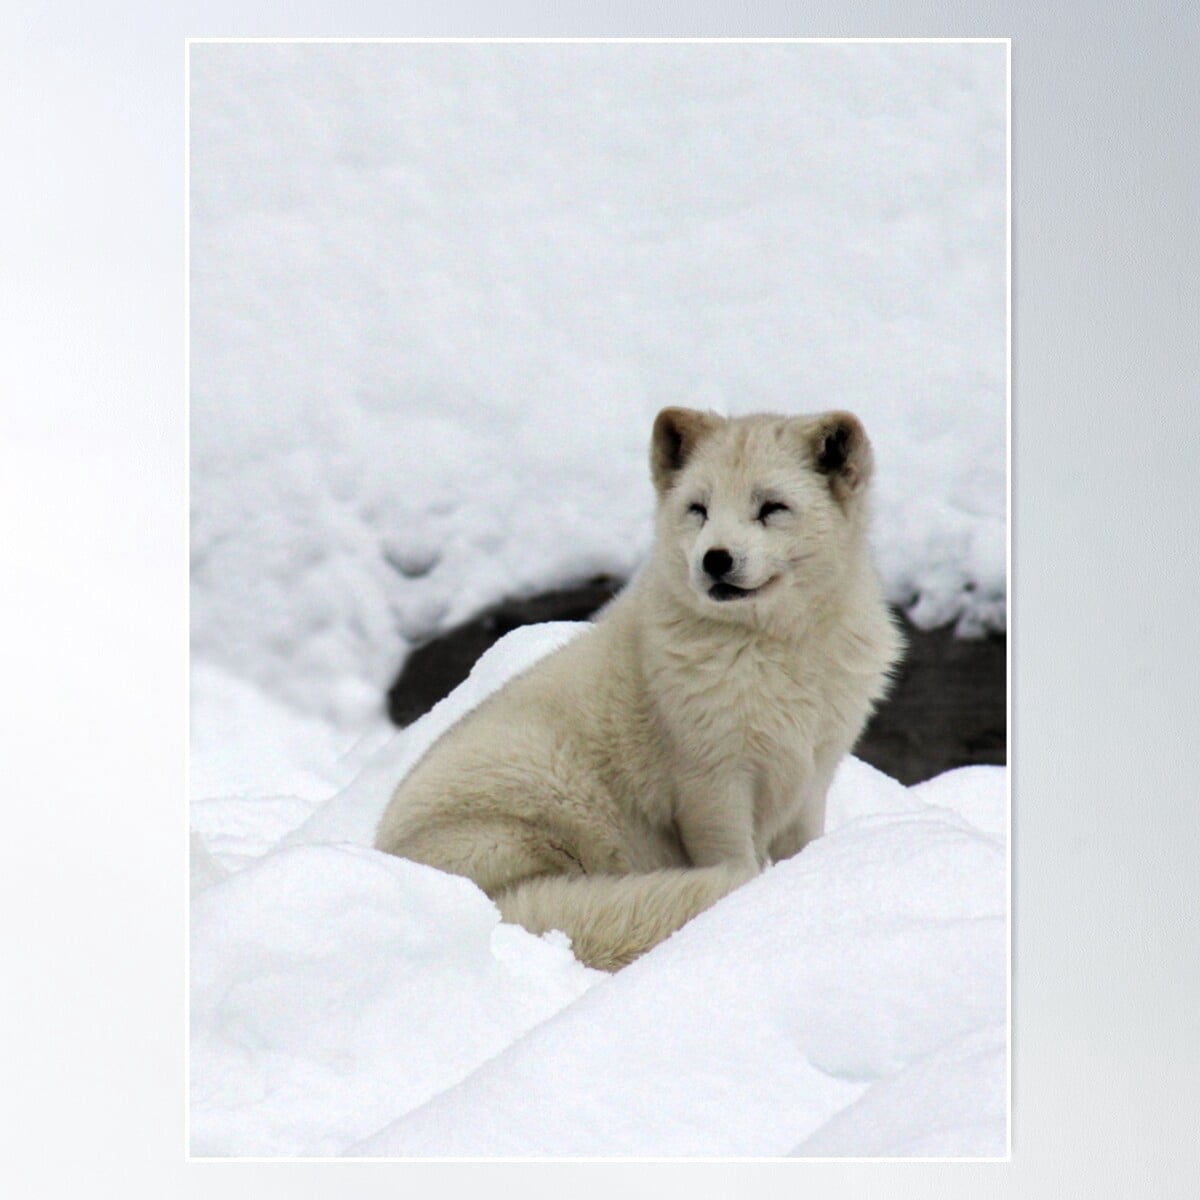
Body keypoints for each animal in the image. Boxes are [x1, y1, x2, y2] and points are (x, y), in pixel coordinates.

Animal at [374, 407, 903, 970]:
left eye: (772, 508)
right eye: (699, 509)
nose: (715, 559)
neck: (779, 656)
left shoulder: (812, 774)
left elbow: (802, 847)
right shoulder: (710, 784)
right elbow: (734, 859)